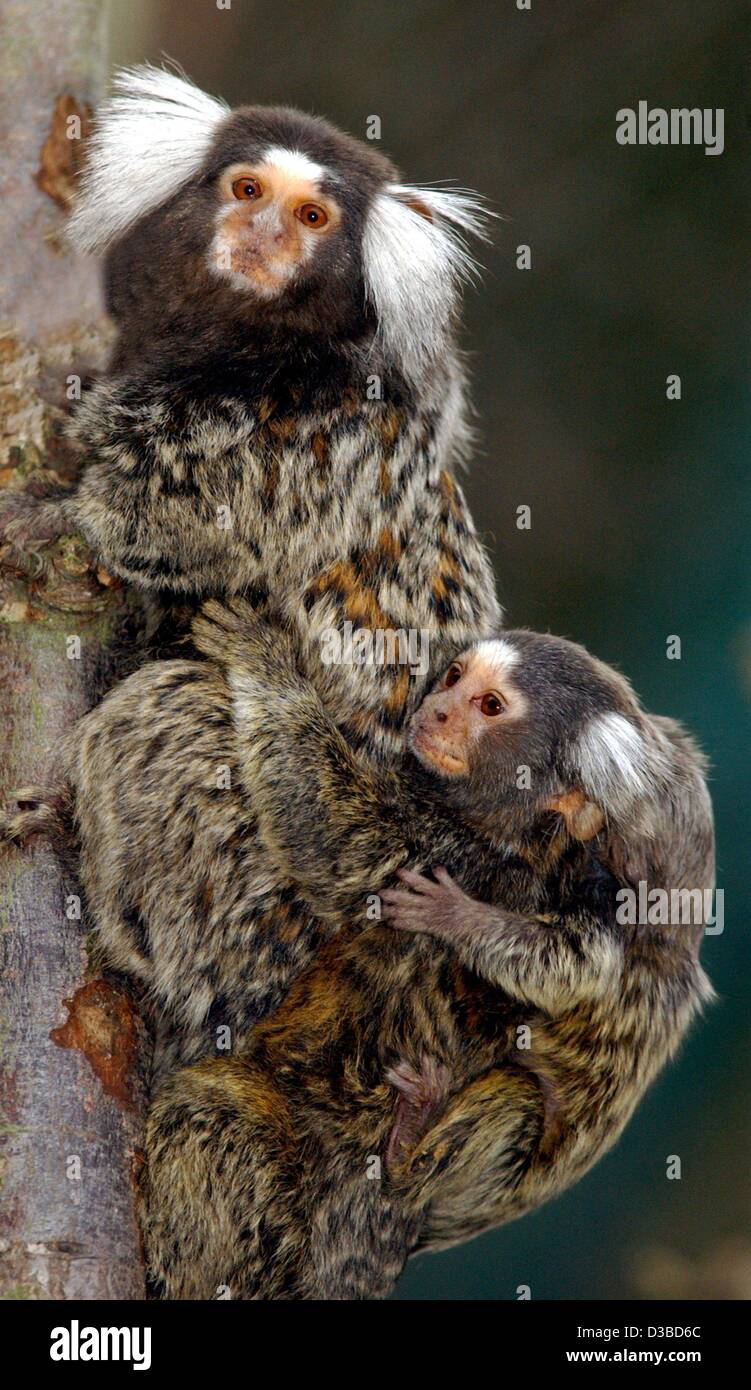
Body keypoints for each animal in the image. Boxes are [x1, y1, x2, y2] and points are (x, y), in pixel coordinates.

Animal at [133, 599, 715, 1299]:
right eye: (454, 677)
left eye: (489, 706)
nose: (436, 711)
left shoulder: (463, 860)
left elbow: (330, 836)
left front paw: (267, 665)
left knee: (224, 1111)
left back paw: (407, 1143)